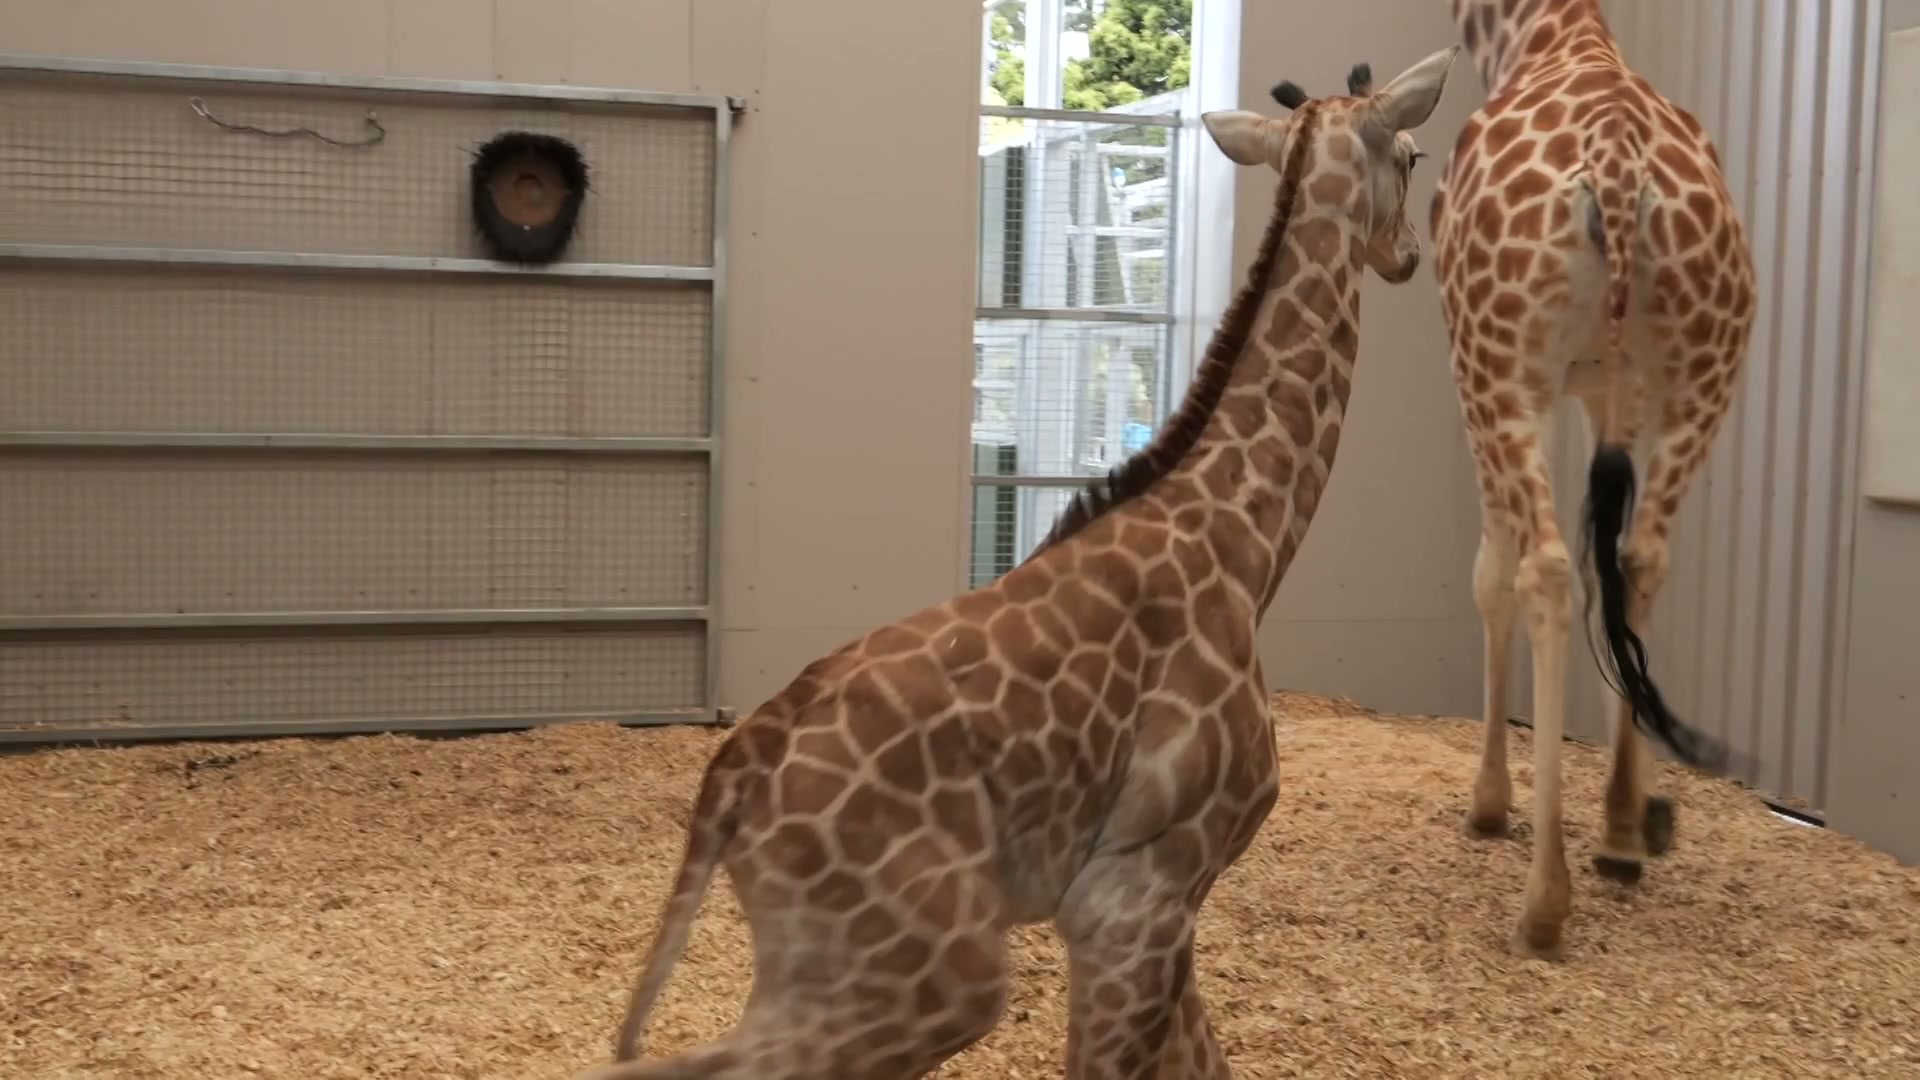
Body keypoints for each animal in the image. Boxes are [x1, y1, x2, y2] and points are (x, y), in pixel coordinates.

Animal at [573, 46, 1462, 1080]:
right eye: (1412, 152)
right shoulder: (1137, 888)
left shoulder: (1163, 900)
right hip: (935, 968)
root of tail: (733, 776)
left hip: (831, 957)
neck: (1247, 542)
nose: (1406, 255)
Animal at [1428, 0, 1756, 960]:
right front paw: (1624, 820)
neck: (1539, 34)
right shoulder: (1612, 386)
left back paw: (1544, 901)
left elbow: (1491, 572)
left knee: (1543, 568)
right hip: (1704, 375)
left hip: (1502, 363)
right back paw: (1619, 830)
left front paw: (1489, 802)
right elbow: (1613, 557)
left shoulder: (1494, 371)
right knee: (1642, 557)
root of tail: (1617, 168)